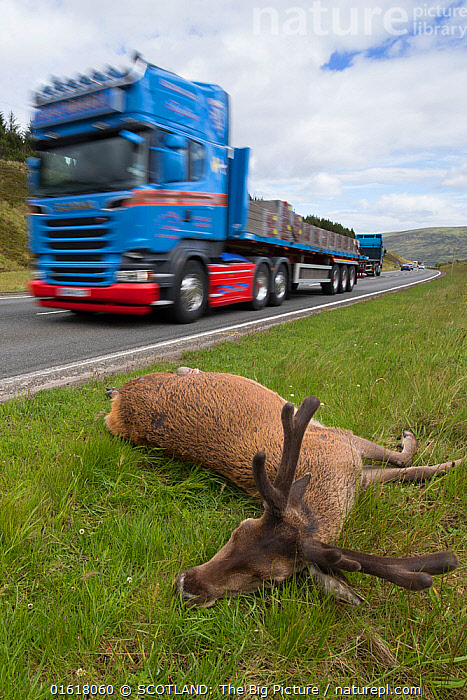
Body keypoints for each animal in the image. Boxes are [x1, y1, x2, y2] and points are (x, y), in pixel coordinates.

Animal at [104, 367, 461, 608]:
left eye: (270, 579)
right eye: (236, 532)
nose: (186, 585)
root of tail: (120, 397)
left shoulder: (353, 463)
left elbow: (408, 469)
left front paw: (449, 464)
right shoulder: (339, 437)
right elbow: (402, 460)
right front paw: (441, 453)